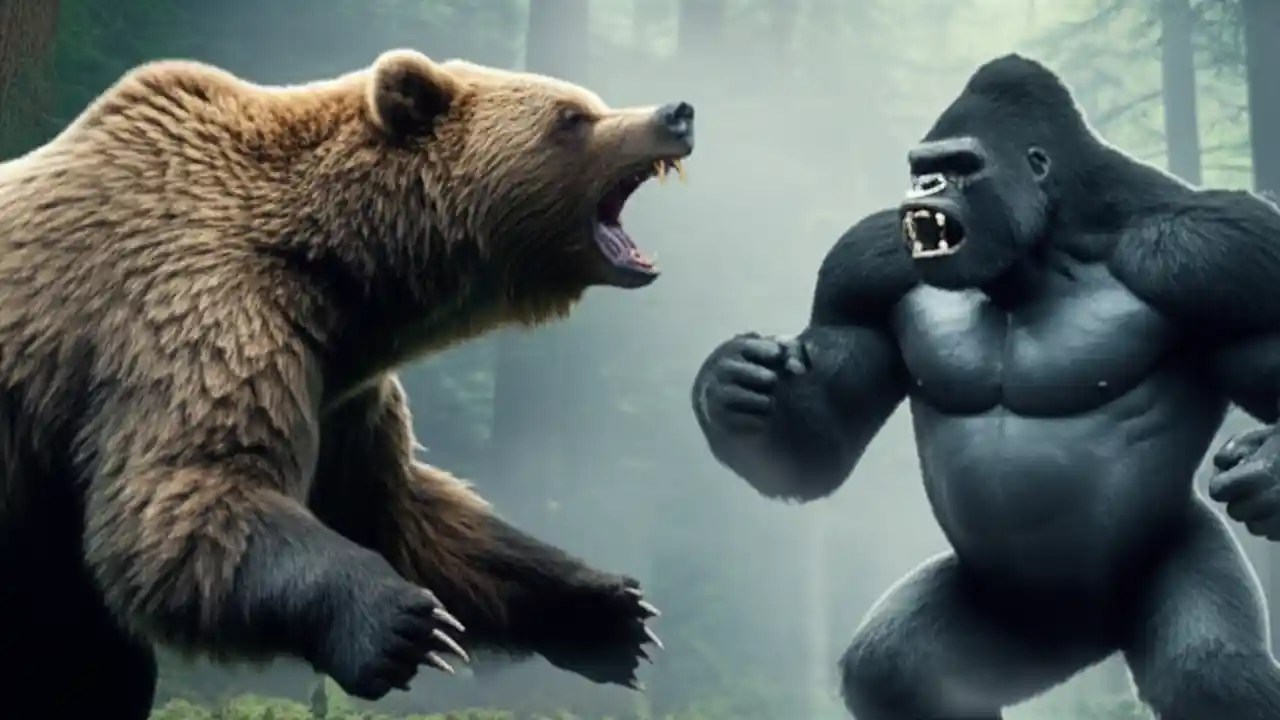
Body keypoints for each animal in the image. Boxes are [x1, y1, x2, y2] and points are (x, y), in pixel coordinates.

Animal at [0, 48, 692, 718]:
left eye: (589, 102)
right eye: (571, 117)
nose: (676, 113)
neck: (333, 270)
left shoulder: (341, 389)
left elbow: (398, 509)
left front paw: (609, 607)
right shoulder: (194, 313)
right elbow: (188, 495)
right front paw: (403, 626)